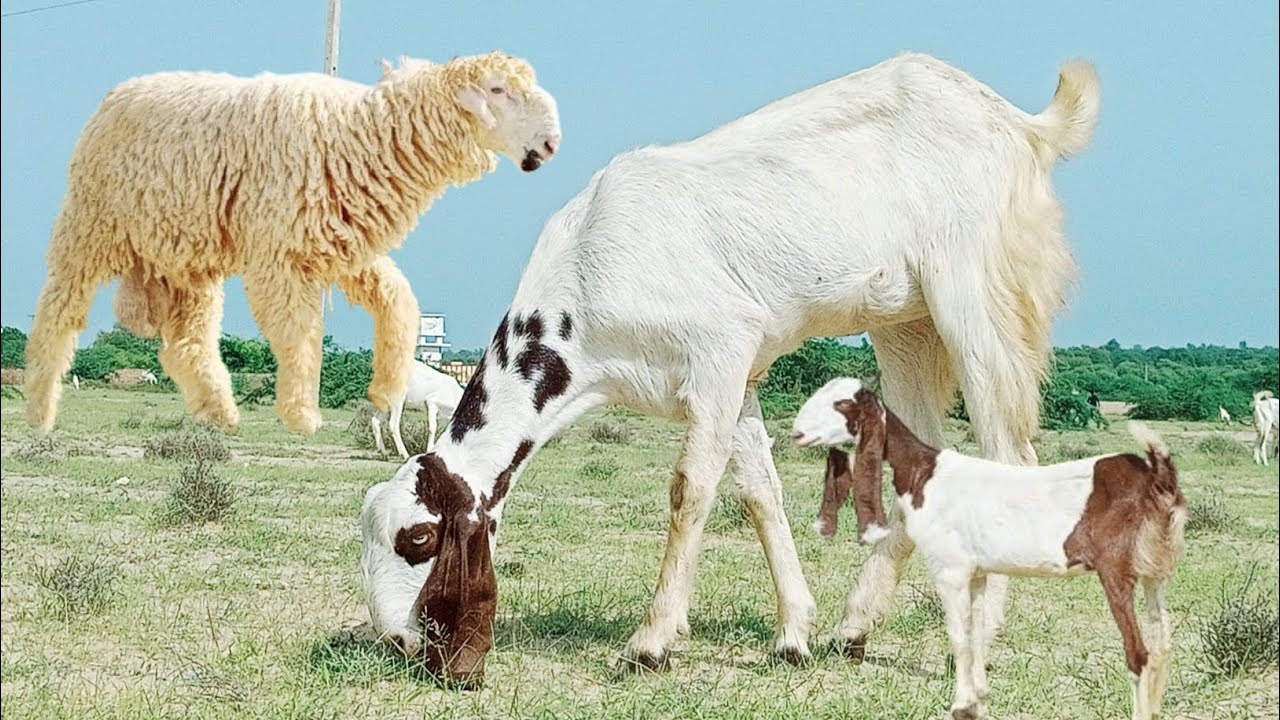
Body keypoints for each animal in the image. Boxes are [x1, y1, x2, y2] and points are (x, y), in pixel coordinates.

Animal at [360, 52, 1100, 683]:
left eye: (418, 537)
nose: (397, 642)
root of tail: (1020, 123)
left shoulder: (720, 348)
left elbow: (691, 489)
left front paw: (651, 642)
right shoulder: (738, 380)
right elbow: (759, 493)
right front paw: (794, 634)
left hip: (977, 293)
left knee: (1009, 455)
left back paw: (975, 638)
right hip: (907, 322)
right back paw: (853, 627)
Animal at [793, 378, 1187, 720]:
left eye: (842, 404)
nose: (797, 432)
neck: (925, 473)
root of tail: (1158, 478)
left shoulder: (949, 569)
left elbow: (958, 636)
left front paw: (960, 705)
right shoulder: (978, 572)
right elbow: (976, 634)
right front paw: (978, 699)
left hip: (1117, 570)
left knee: (1139, 653)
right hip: (1155, 573)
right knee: (1162, 645)